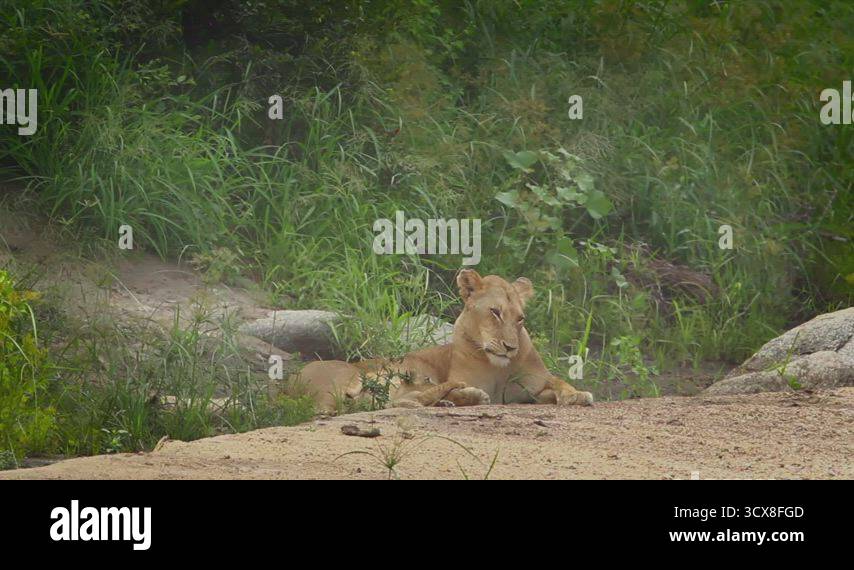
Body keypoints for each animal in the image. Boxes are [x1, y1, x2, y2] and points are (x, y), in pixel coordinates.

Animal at [299, 269, 594, 412]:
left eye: (520, 318)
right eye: (495, 312)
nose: (510, 347)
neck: (500, 368)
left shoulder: (531, 389)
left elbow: (556, 382)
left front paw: (576, 394)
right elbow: (460, 388)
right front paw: (467, 395)